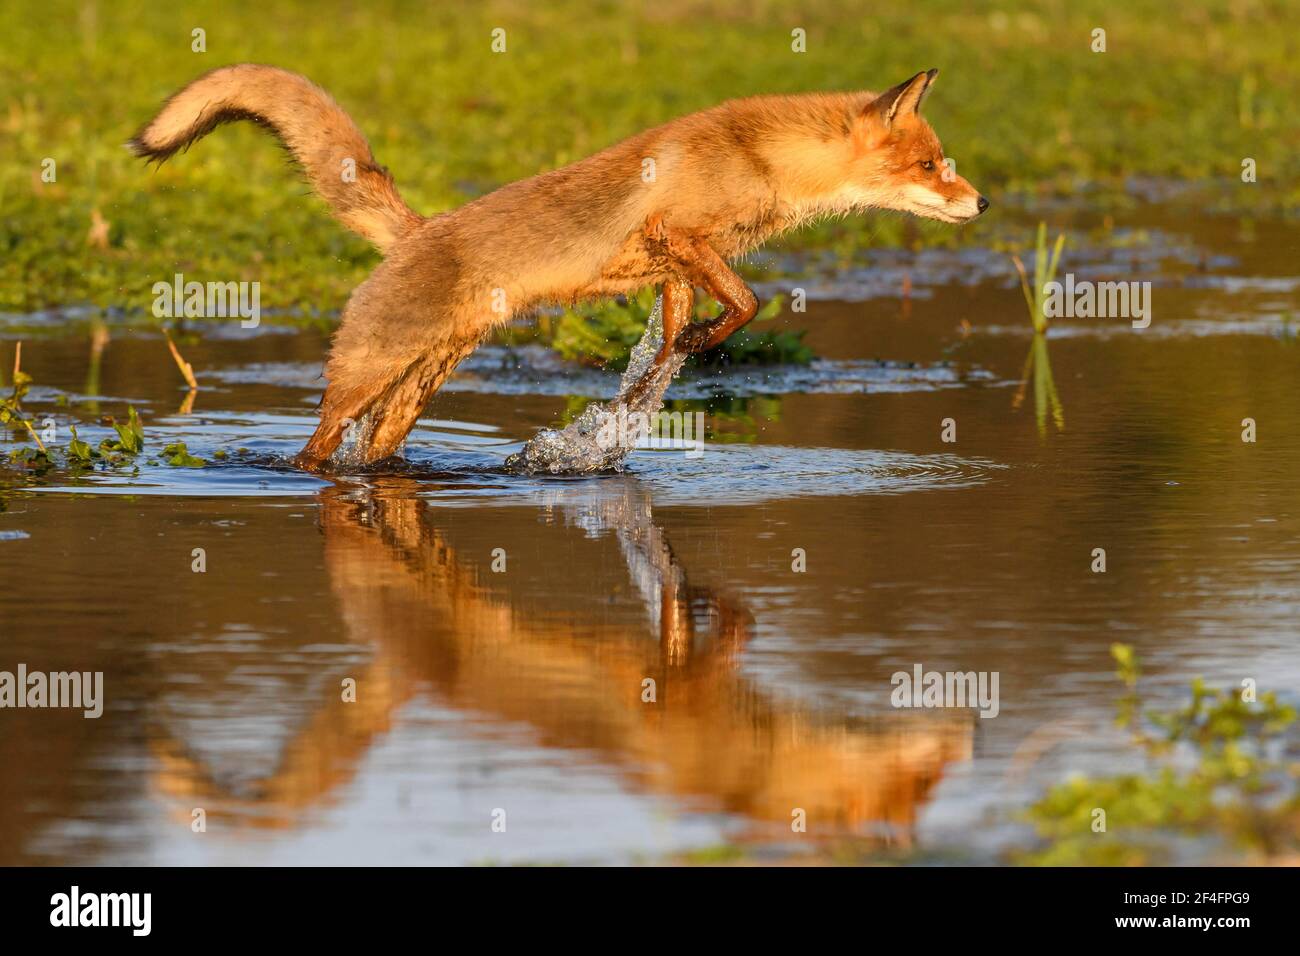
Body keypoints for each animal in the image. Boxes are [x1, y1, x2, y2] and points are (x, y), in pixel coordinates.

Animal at [129, 64, 987, 469]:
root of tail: (414, 231)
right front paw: (694, 351)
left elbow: (689, 322)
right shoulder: (679, 232)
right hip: (361, 377)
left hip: (412, 391)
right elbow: (747, 303)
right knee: (317, 449)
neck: (763, 159)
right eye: (932, 165)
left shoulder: (674, 262)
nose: (979, 203)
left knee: (370, 452)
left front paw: (652, 382)